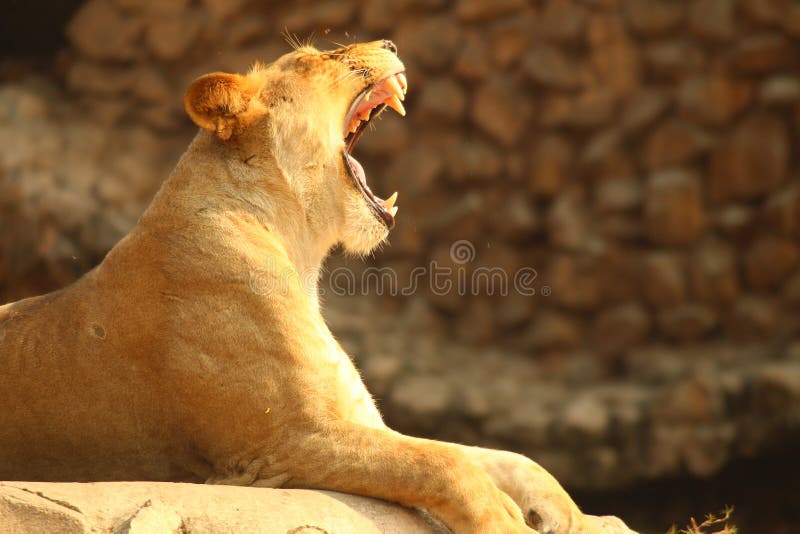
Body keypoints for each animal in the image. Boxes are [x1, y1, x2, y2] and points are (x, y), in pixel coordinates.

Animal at [0, 40, 635, 534]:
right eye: (318, 57)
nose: (394, 44)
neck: (298, 248)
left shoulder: (361, 421)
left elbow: (505, 459)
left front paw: (580, 518)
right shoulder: (285, 444)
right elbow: (445, 466)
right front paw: (507, 520)